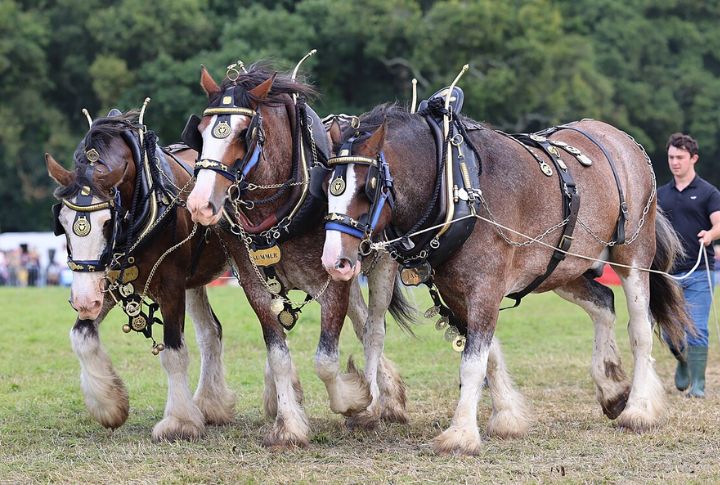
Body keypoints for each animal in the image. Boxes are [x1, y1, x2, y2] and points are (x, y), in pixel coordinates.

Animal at [46, 110, 238, 441]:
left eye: (107, 222)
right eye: (63, 222)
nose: (83, 302)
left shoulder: (171, 285)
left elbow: (174, 352)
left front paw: (179, 422)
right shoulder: (108, 284)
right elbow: (81, 337)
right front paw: (110, 406)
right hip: (194, 280)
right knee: (211, 332)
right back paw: (211, 404)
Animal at [183, 63, 414, 445]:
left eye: (244, 133)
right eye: (200, 132)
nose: (200, 204)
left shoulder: (332, 282)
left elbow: (326, 360)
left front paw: (355, 399)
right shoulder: (256, 287)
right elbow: (278, 355)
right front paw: (289, 425)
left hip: (380, 265)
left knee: (374, 331)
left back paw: (376, 404)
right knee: (362, 322)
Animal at [321, 100, 693, 455]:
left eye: (367, 187)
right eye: (327, 186)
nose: (333, 260)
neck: (454, 182)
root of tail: (621, 140)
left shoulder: (486, 288)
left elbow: (473, 363)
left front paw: (461, 434)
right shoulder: (456, 292)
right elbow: (487, 356)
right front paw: (507, 418)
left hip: (633, 255)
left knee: (640, 329)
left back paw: (638, 409)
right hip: (563, 267)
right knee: (604, 304)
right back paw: (612, 389)